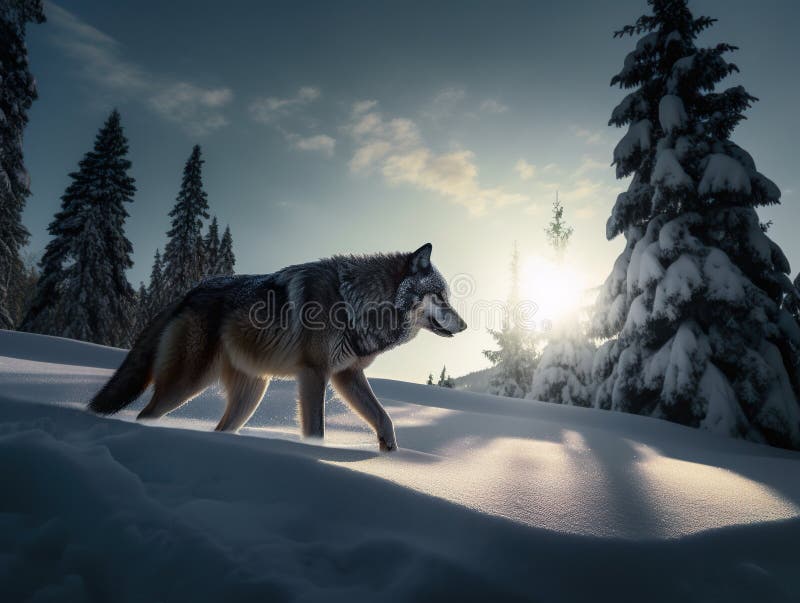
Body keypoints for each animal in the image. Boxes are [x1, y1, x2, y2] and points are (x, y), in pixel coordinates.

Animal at [88, 243, 466, 451]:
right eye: (441, 296)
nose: (464, 326)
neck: (354, 301)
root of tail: (187, 293)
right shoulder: (315, 373)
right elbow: (316, 429)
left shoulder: (346, 374)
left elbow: (384, 417)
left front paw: (390, 451)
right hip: (187, 384)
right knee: (144, 414)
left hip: (250, 395)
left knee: (219, 429)